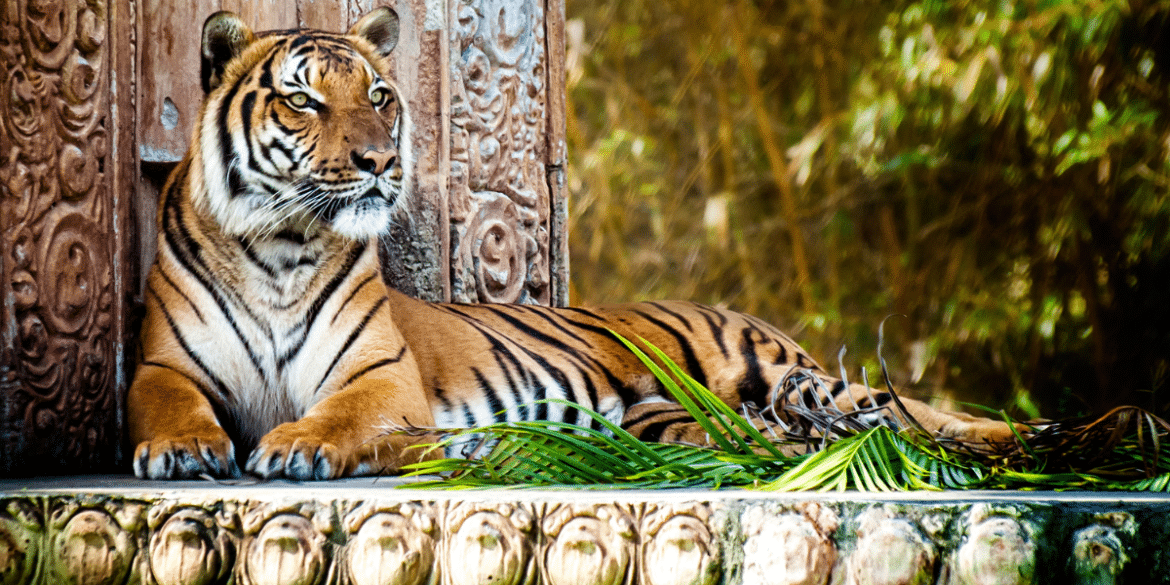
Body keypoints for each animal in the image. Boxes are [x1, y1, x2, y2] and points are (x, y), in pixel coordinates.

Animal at [128, 8, 1018, 480]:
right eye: (304, 101)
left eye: (378, 95)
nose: (381, 160)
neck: (281, 245)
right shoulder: (163, 364)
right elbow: (168, 403)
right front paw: (183, 448)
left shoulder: (381, 381)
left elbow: (339, 415)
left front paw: (296, 445)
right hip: (682, 416)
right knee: (801, 429)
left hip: (766, 367)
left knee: (897, 407)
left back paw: (1013, 437)